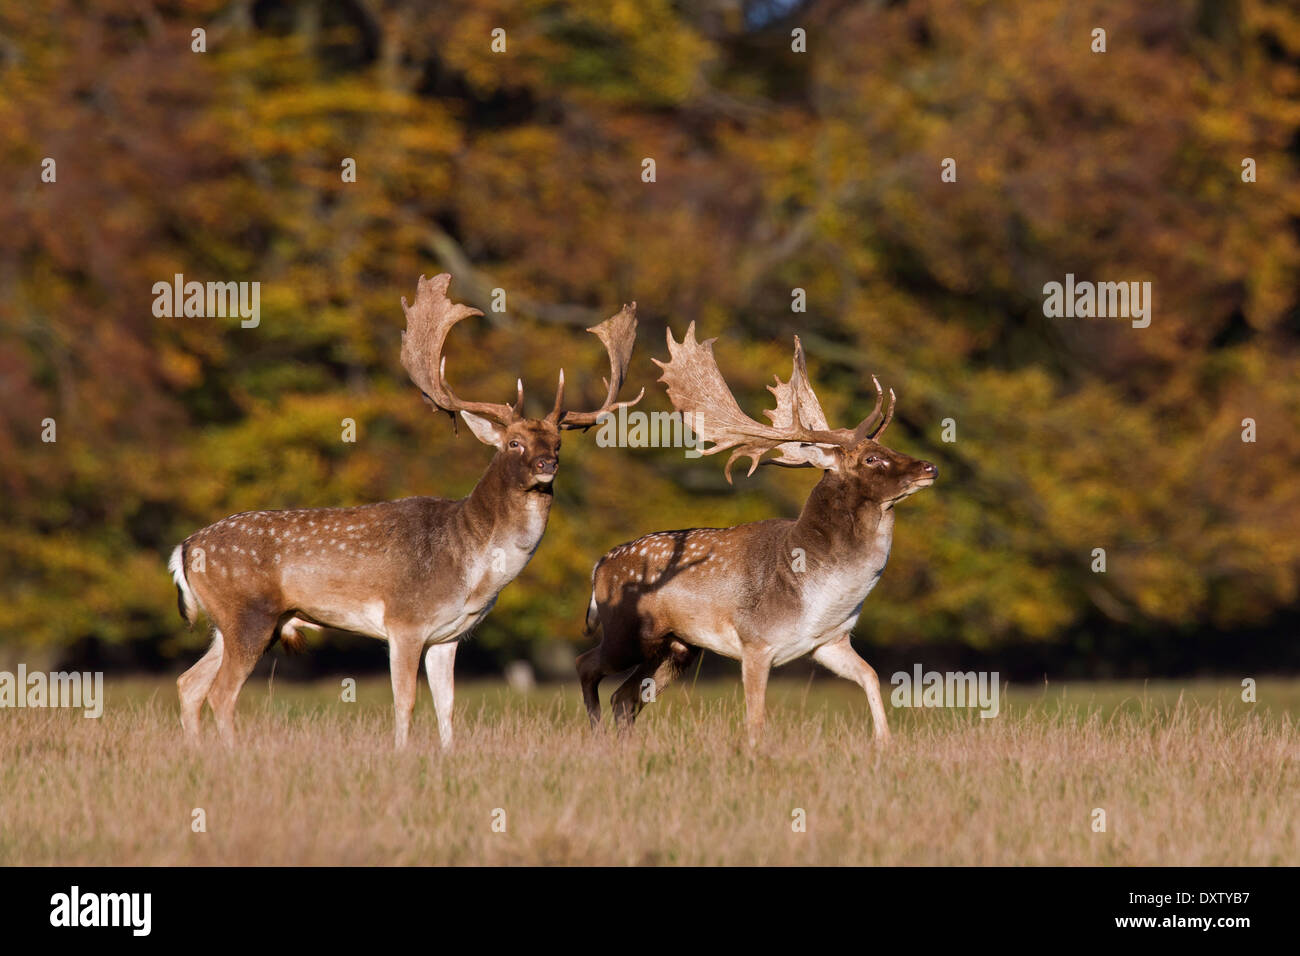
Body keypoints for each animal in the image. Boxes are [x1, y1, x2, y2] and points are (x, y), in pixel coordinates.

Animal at [169, 273, 642, 749]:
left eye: (558, 443)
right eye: (514, 443)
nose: (548, 465)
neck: (472, 565)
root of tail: (185, 548)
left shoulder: (448, 636)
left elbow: (447, 706)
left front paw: (448, 755)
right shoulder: (404, 621)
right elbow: (406, 701)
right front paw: (402, 753)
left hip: (229, 624)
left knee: (189, 683)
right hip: (249, 615)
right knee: (220, 693)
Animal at [576, 324, 937, 746]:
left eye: (886, 446)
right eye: (871, 458)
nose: (929, 467)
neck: (819, 595)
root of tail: (599, 566)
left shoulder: (828, 641)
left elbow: (871, 676)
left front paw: (884, 742)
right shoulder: (756, 641)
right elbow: (756, 719)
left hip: (678, 648)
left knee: (624, 696)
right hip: (624, 633)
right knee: (587, 666)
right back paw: (597, 734)